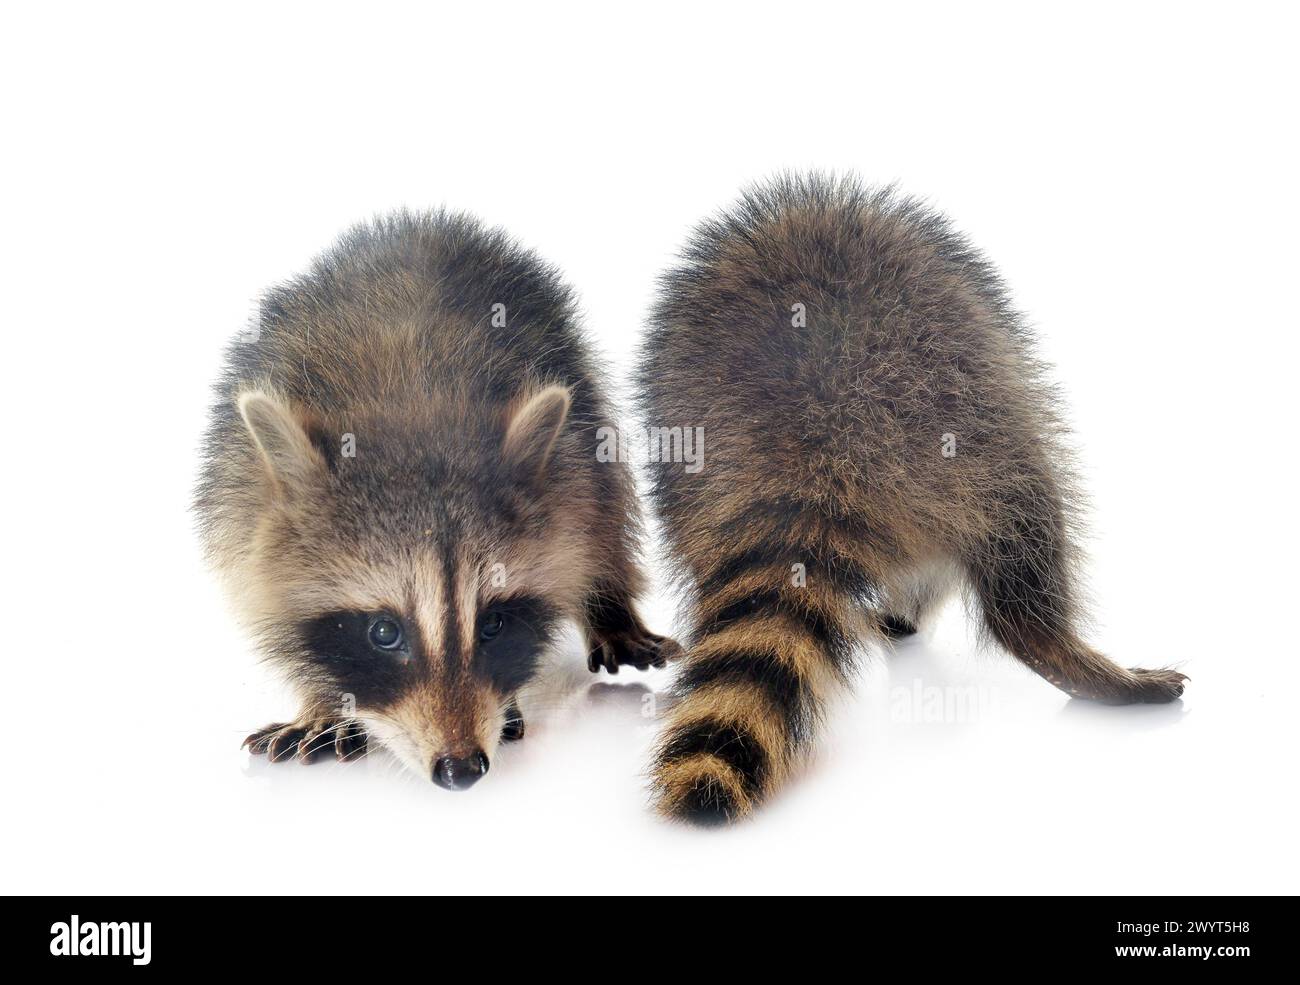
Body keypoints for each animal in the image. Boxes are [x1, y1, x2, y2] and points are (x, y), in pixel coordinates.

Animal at [196, 210, 676, 790]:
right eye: (383, 632)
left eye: (494, 624)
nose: (461, 769)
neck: (412, 413)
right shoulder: (239, 495)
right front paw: (325, 702)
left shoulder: (573, 462)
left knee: (608, 515)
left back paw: (610, 605)